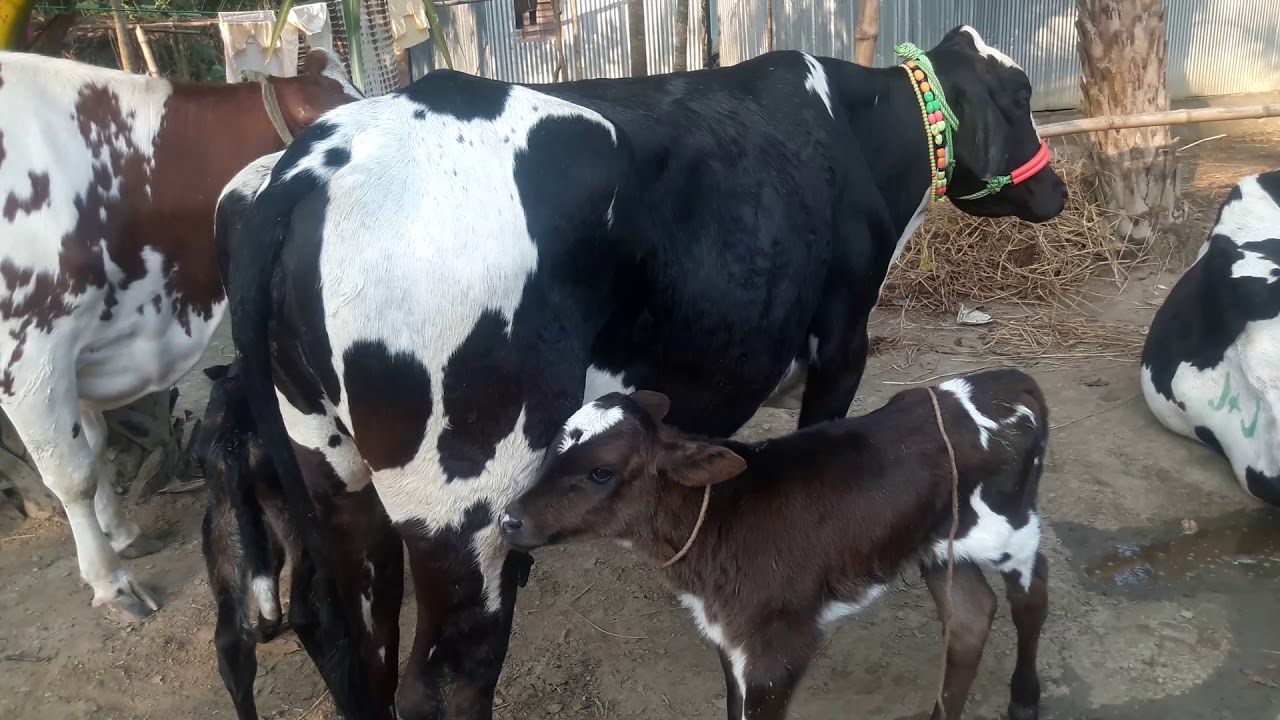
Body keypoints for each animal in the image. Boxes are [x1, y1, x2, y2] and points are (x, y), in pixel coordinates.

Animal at [0, 48, 358, 623]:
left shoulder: (83, 349)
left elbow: (95, 448)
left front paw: (122, 533)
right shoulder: (31, 358)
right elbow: (72, 475)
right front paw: (112, 583)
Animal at [223, 26, 1066, 719]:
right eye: (1022, 97)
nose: (1055, 190)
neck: (857, 131)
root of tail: (306, 168)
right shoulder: (842, 341)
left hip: (334, 473)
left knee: (357, 639)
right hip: (462, 498)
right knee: (448, 678)